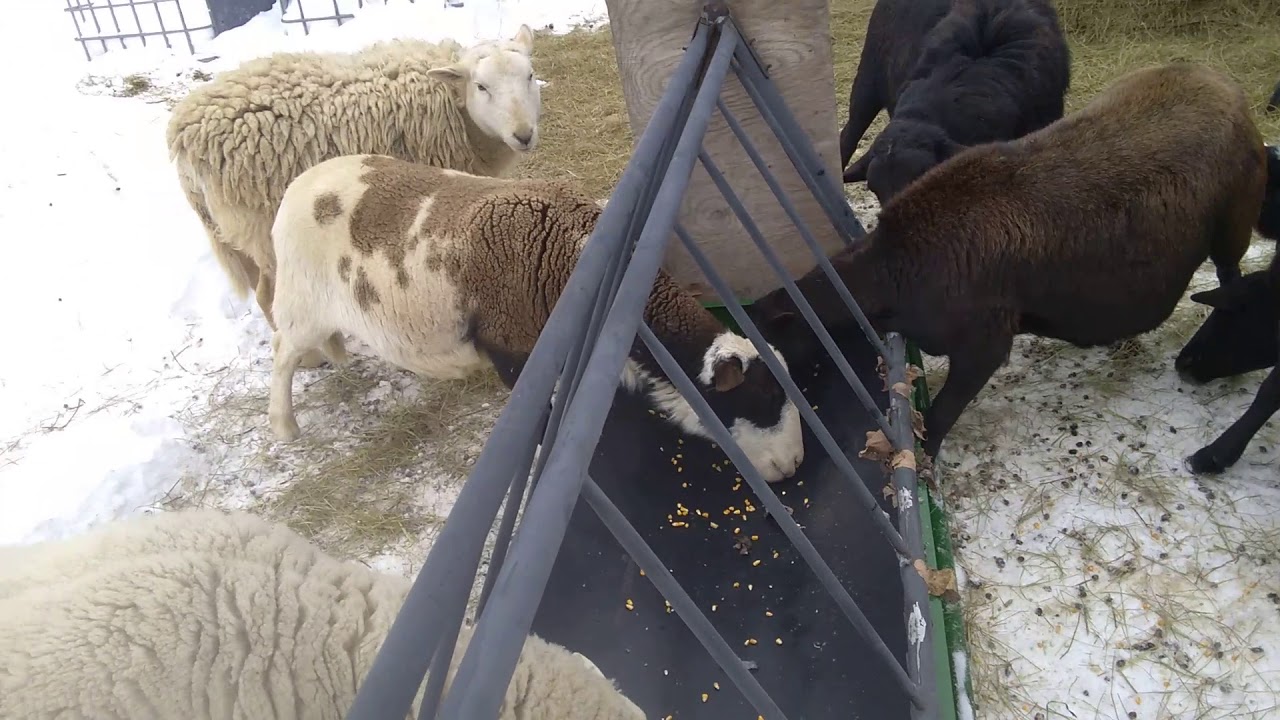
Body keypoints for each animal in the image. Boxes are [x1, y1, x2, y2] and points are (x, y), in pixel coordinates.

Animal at [166, 26, 541, 366]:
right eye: (482, 86)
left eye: (530, 76)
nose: (524, 135)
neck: (457, 110)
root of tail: (183, 136)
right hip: (262, 226)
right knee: (266, 296)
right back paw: (312, 358)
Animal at [266, 154, 805, 482]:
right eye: (762, 395)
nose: (794, 462)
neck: (573, 253)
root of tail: (298, 184)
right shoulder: (514, 353)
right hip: (300, 303)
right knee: (282, 354)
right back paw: (285, 426)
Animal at [747, 62, 1266, 461]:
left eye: (771, 359)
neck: (898, 269)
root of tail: (1216, 79)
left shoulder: (985, 343)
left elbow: (941, 413)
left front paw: (925, 459)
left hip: (1235, 224)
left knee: (1231, 277)